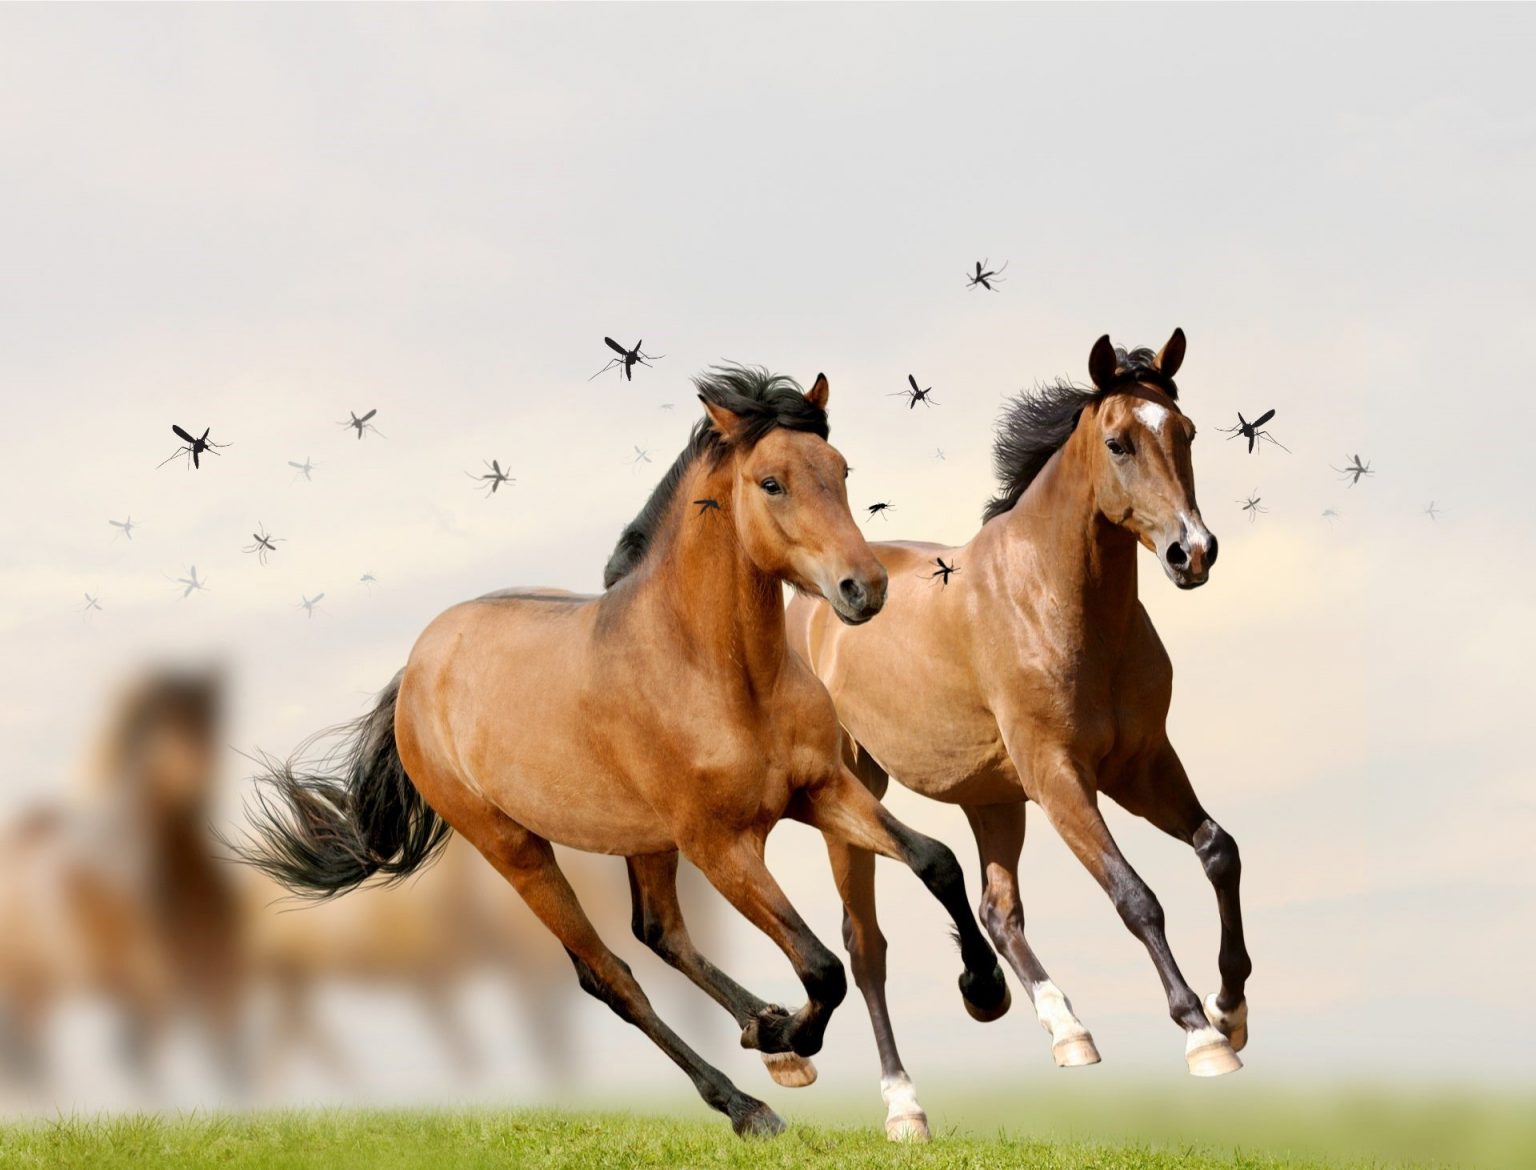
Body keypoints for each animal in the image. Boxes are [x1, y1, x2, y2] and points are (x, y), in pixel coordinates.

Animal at [239, 366, 1007, 1137]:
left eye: (841, 470)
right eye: (772, 482)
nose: (865, 589)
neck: (719, 671)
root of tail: (418, 667)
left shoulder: (821, 791)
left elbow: (935, 862)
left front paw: (984, 990)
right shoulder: (721, 846)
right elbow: (821, 966)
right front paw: (791, 1033)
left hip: (644, 839)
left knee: (659, 932)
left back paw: (762, 1032)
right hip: (517, 849)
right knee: (609, 975)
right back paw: (748, 1098)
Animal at [787, 330, 1251, 1141]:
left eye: (1187, 433)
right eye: (1118, 442)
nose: (1192, 553)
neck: (1058, 602)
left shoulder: (1141, 766)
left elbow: (1219, 851)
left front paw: (1234, 1010)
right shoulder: (1060, 776)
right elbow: (1135, 896)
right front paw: (1201, 1035)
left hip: (992, 800)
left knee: (997, 913)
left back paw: (1061, 1028)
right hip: (853, 795)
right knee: (866, 946)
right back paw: (903, 1106)